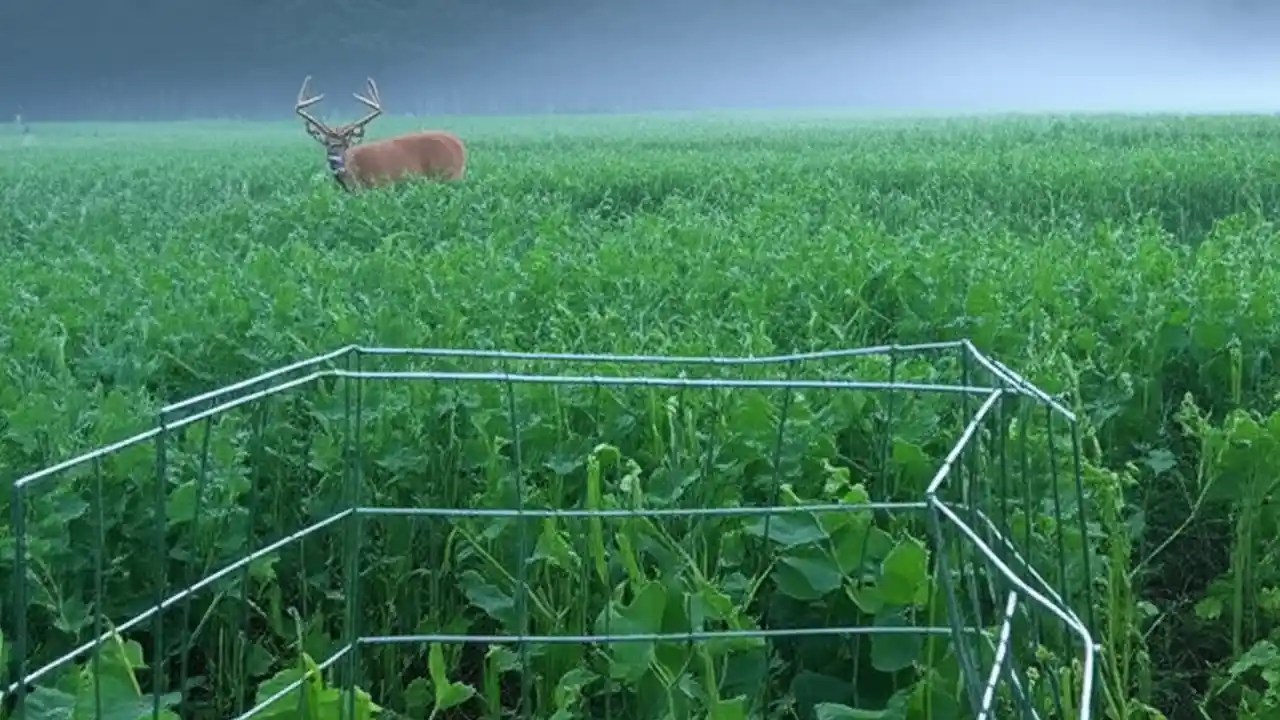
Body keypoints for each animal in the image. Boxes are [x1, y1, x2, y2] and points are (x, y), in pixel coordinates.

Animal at [294, 76, 467, 192]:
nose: (336, 161)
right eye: (327, 143)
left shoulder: (380, 186)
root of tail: (460, 146)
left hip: (449, 175)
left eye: (345, 144)